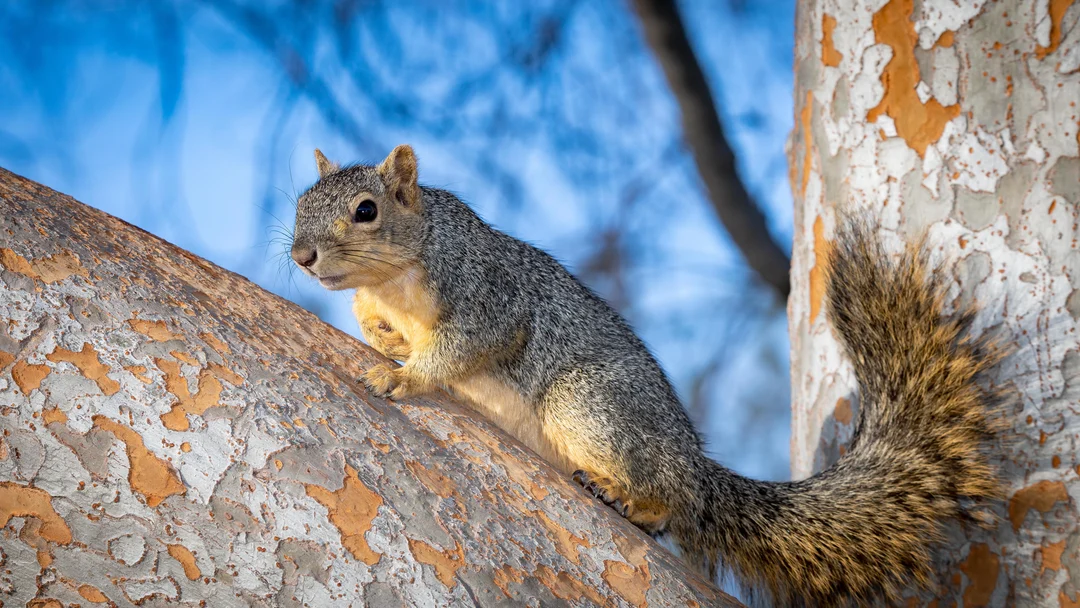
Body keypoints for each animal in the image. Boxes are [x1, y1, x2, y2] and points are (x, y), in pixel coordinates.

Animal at [290, 144, 1003, 606]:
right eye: (298, 203)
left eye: (366, 210)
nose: (301, 257)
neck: (395, 280)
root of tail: (694, 466)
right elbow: (370, 322)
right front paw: (383, 341)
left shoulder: (490, 295)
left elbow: (466, 345)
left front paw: (403, 378)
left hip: (589, 405)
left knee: (666, 503)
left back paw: (628, 497)